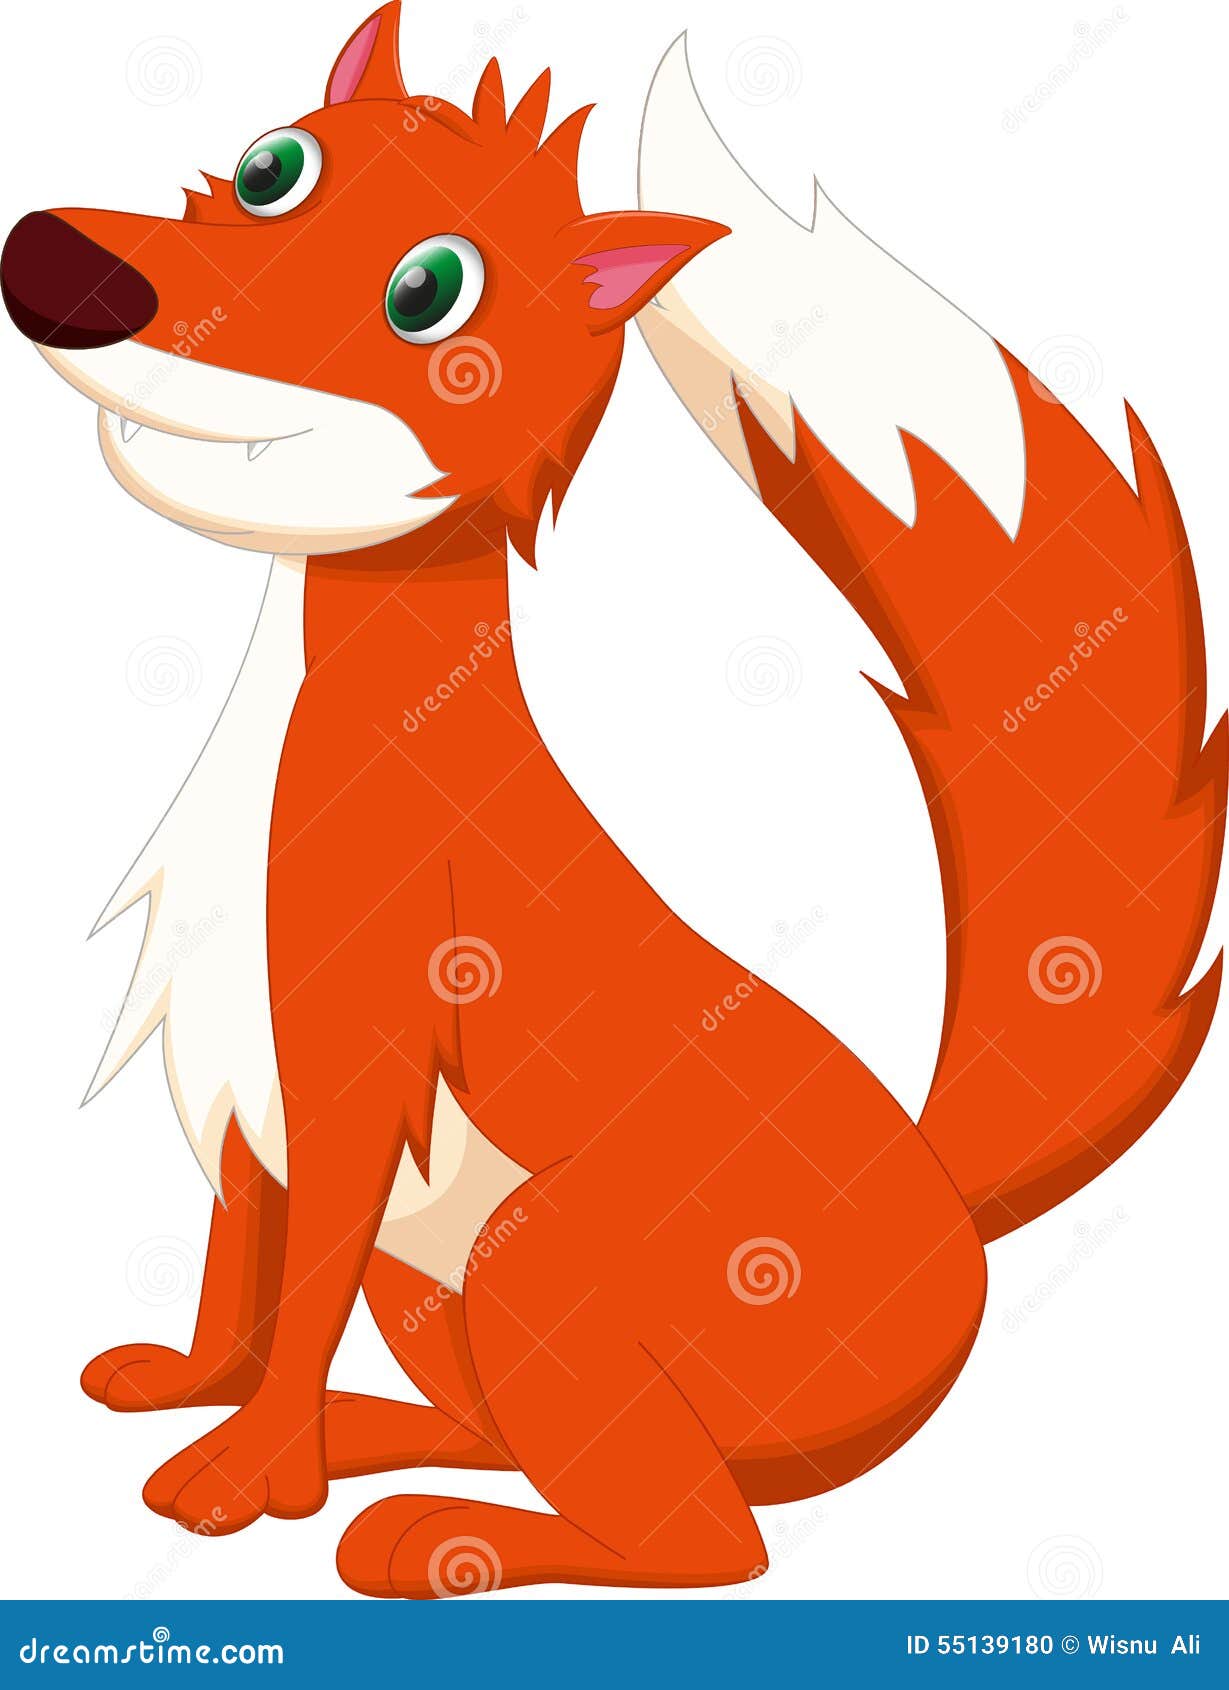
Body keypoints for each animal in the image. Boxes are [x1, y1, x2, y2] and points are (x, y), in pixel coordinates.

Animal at [2, 0, 1222, 1598]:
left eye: (427, 293)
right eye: (271, 168)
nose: (61, 265)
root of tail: (949, 1216)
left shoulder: (353, 1057)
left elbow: (297, 1273)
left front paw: (249, 1472)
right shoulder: (236, 1060)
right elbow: (238, 1265)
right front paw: (214, 1395)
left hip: (532, 1252)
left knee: (711, 1542)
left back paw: (432, 1534)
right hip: (441, 1292)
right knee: (525, 1440)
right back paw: (379, 1441)